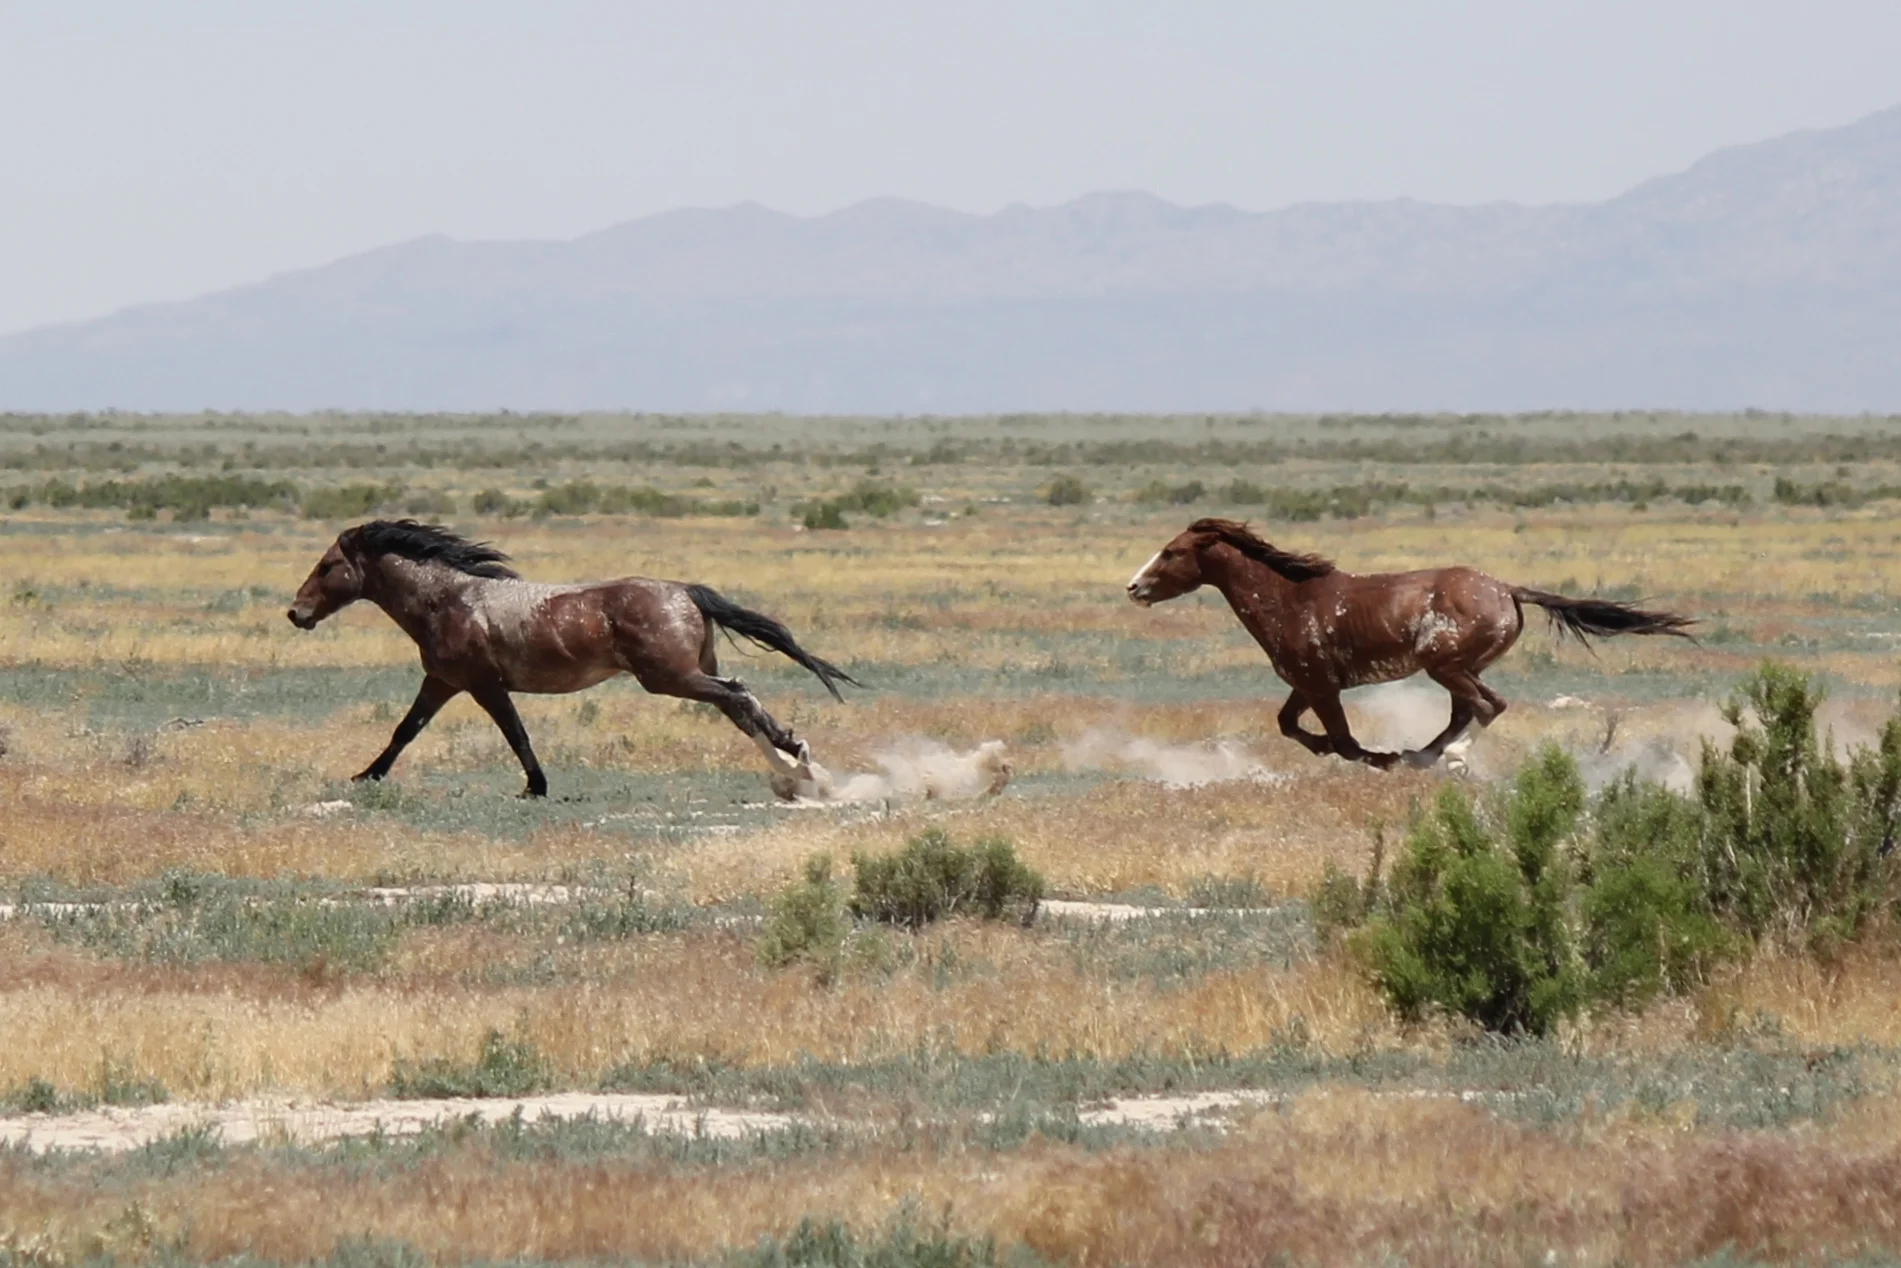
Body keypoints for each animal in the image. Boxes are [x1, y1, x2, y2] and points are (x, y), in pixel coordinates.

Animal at [287, 519, 856, 799]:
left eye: (328, 565)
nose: (296, 613)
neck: (451, 599)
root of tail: (685, 592)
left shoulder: (483, 685)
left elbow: (515, 734)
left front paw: (535, 787)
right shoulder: (442, 682)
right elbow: (405, 730)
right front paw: (367, 776)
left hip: (672, 678)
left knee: (740, 696)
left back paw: (798, 767)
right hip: (693, 673)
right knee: (740, 704)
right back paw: (799, 764)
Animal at [1125, 518, 1694, 769]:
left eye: (1171, 552)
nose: (1133, 587)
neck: (1289, 597)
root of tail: (1507, 589)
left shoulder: (1322, 687)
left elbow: (1346, 741)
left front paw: (1377, 756)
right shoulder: (1305, 684)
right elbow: (1289, 725)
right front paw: (1345, 750)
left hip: (1446, 665)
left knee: (1487, 707)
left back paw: (1446, 756)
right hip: (1459, 669)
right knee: (1467, 710)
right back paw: (1424, 755)